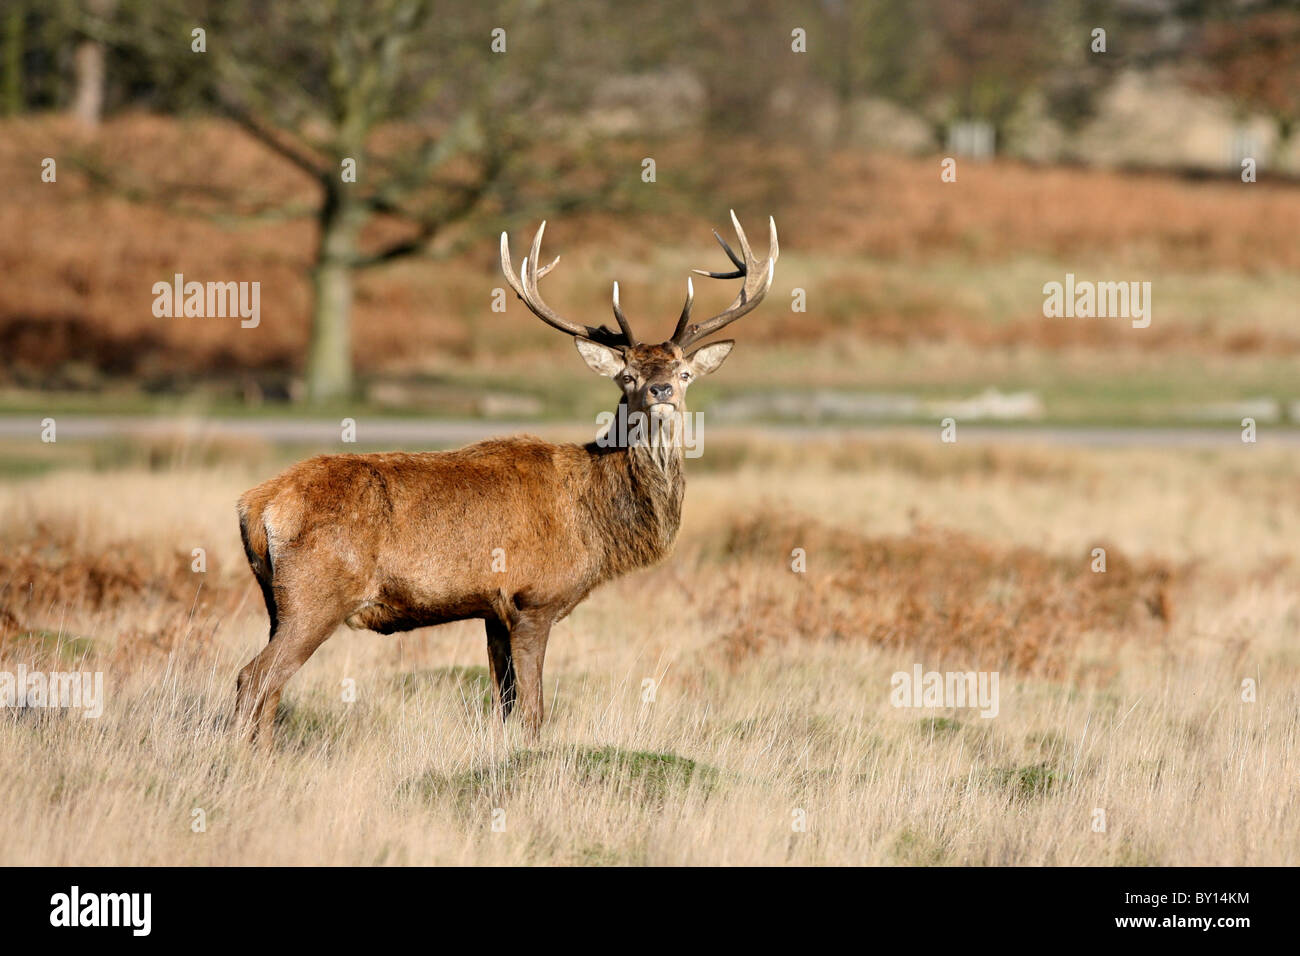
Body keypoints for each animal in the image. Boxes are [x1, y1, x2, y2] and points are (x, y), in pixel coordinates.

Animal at [233, 211, 778, 744]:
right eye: (627, 376)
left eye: (685, 372)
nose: (661, 389)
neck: (596, 523)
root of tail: (255, 505)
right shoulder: (533, 600)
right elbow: (534, 714)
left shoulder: (492, 612)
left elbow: (505, 706)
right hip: (316, 595)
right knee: (254, 678)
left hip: (276, 602)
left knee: (268, 688)